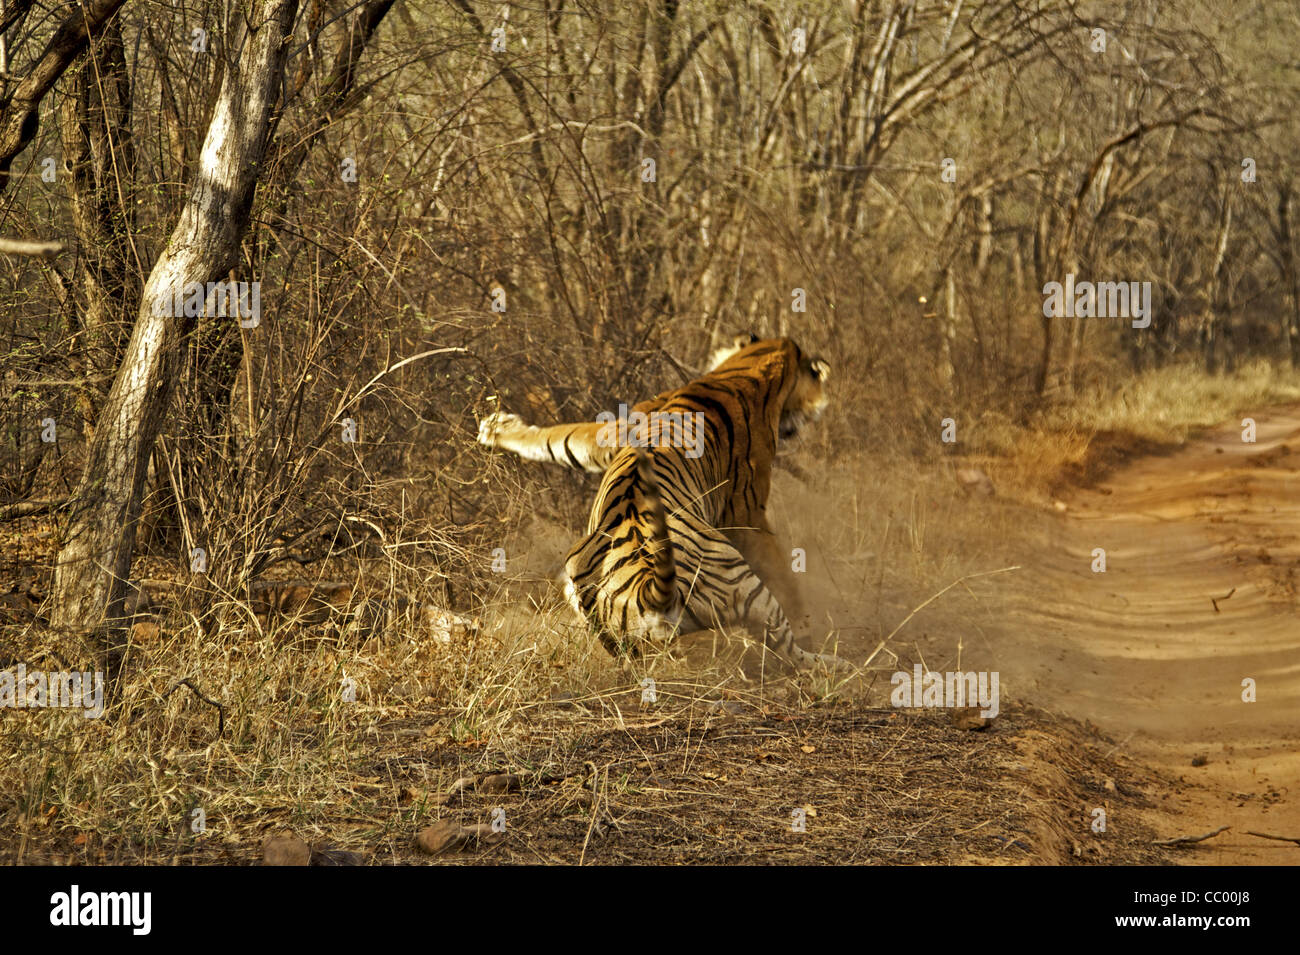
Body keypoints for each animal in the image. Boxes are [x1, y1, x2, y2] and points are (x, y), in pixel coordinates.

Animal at [477, 335, 844, 671]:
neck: (753, 364)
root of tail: (649, 591)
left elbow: (559, 439)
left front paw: (494, 429)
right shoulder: (748, 513)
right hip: (747, 585)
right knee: (788, 651)